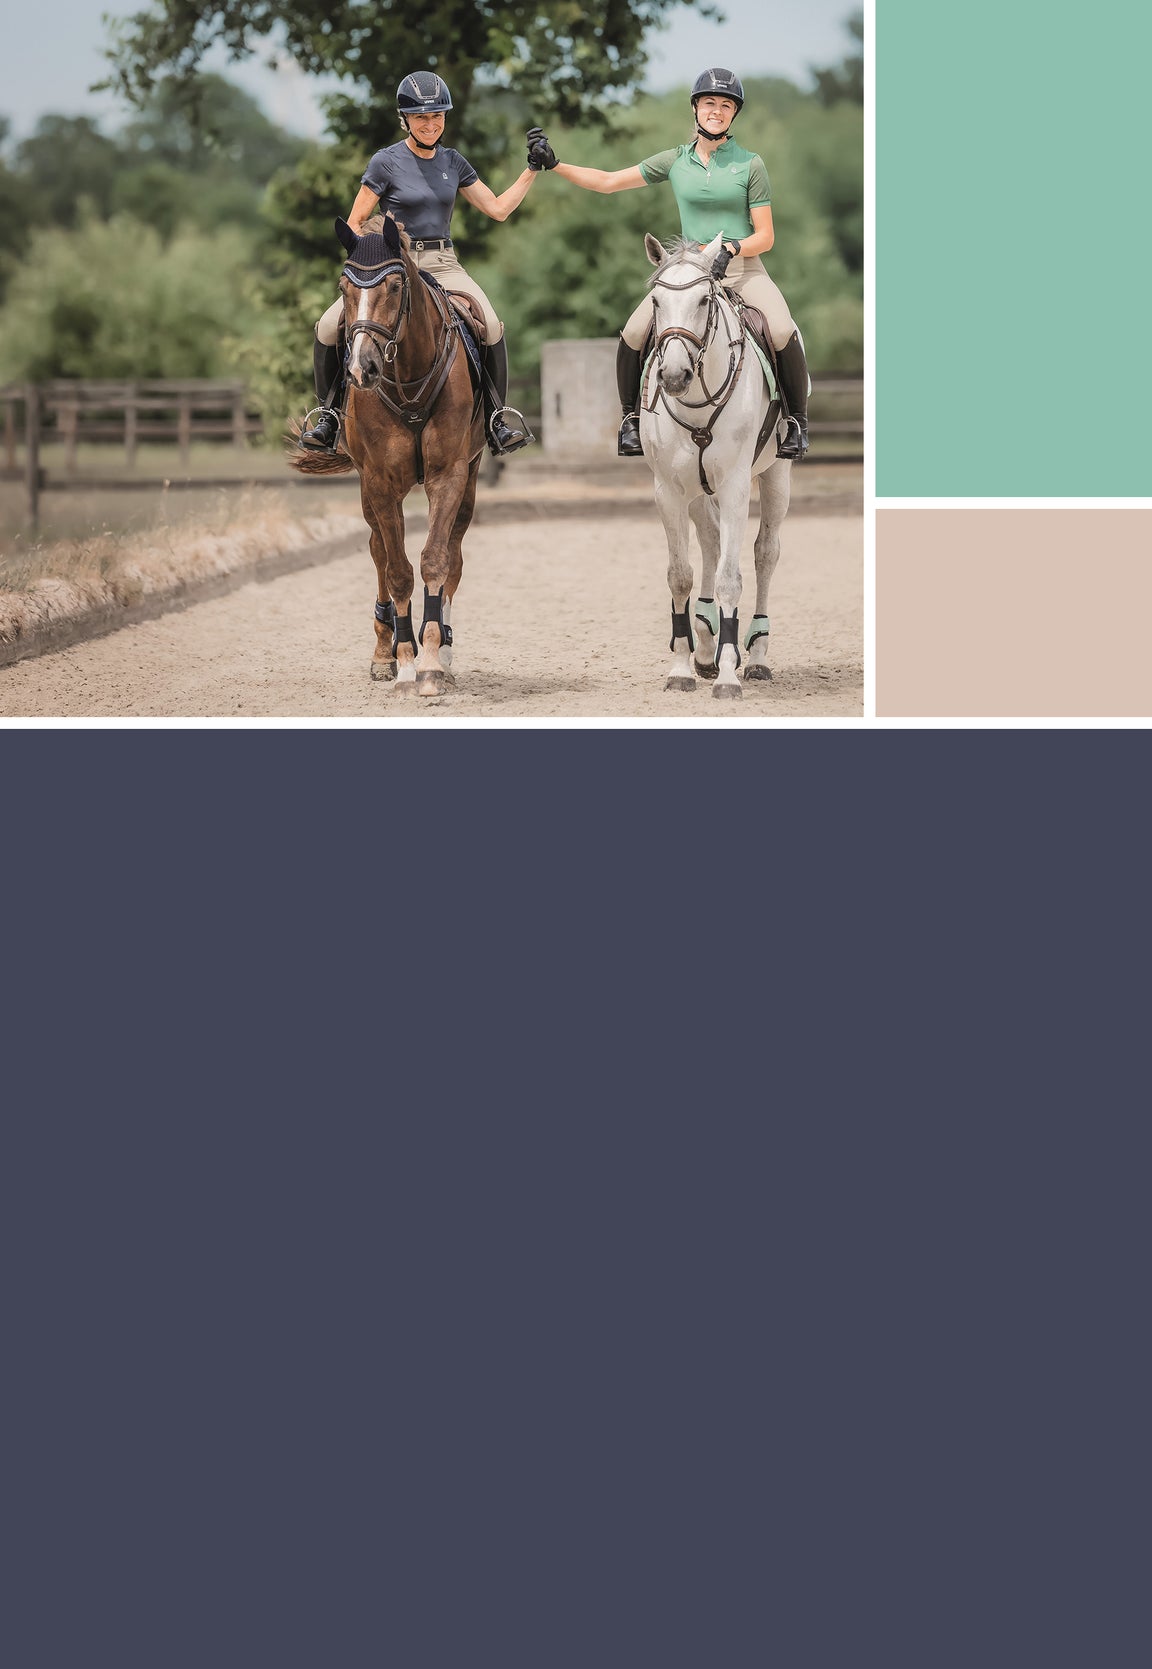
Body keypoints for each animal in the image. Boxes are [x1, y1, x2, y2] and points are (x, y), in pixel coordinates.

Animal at [290, 213, 484, 696]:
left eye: (396, 286)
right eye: (344, 287)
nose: (362, 369)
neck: (408, 374)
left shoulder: (449, 475)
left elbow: (435, 560)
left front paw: (432, 661)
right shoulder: (379, 481)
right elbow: (396, 570)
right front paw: (406, 663)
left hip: (470, 479)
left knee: (453, 556)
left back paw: (443, 650)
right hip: (368, 491)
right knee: (378, 551)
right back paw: (385, 653)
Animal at [639, 233, 792, 700]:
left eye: (704, 300)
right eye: (655, 301)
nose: (673, 376)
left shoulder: (735, 487)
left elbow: (731, 577)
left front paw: (727, 677)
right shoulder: (669, 491)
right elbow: (680, 575)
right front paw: (681, 669)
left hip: (776, 476)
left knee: (765, 553)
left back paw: (754, 656)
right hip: (696, 489)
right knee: (709, 541)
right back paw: (705, 646)